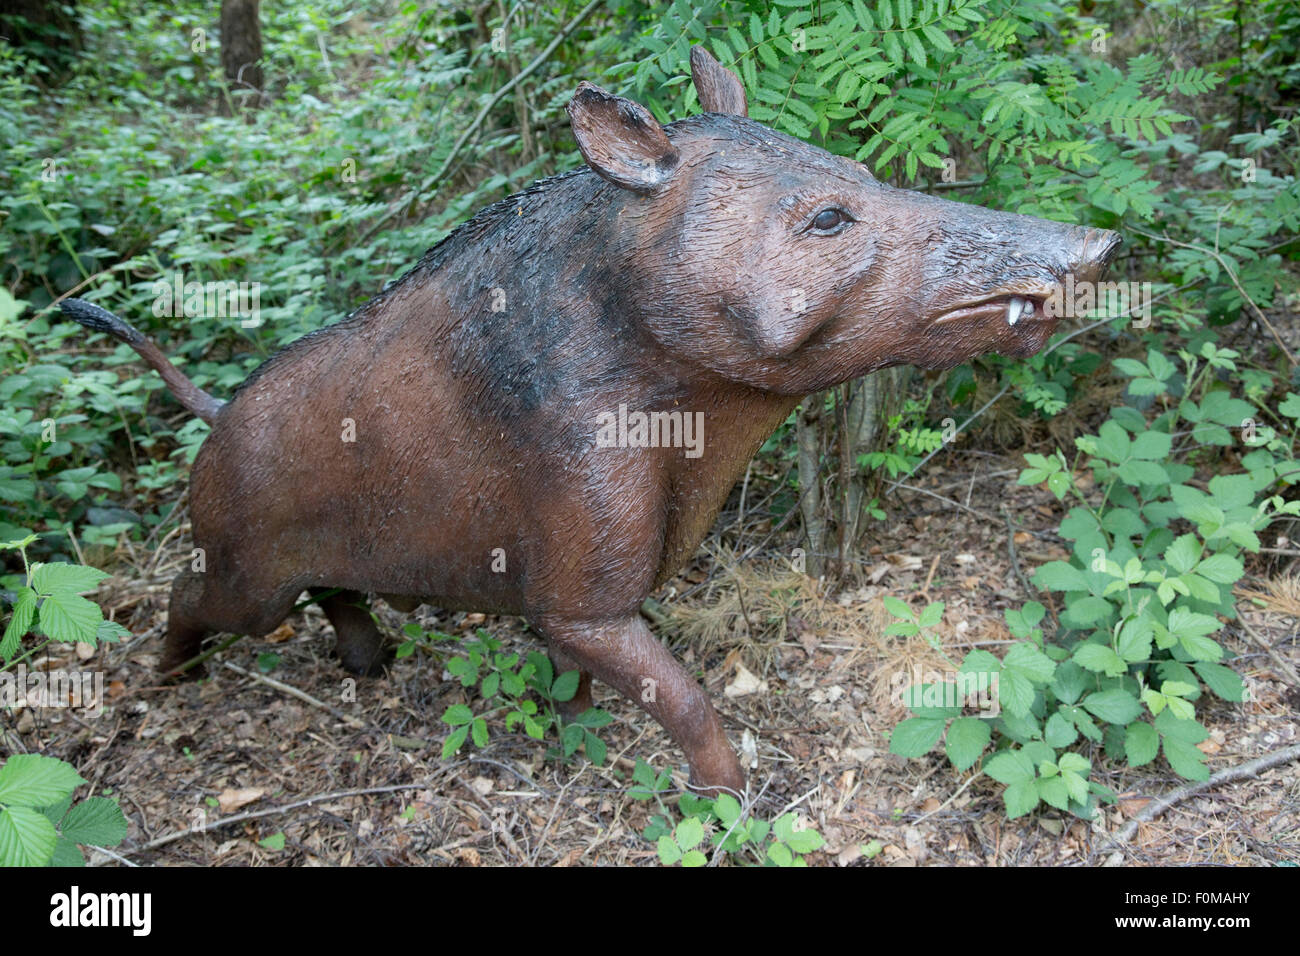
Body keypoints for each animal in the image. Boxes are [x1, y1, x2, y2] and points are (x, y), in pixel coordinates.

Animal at [62, 47, 1121, 796]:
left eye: (862, 169)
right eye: (827, 217)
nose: (1099, 242)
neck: (695, 420)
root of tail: (216, 415)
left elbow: (589, 674)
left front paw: (577, 733)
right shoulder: (581, 557)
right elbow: (678, 692)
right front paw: (732, 805)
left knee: (339, 592)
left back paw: (374, 667)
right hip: (243, 563)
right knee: (193, 598)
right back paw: (160, 683)